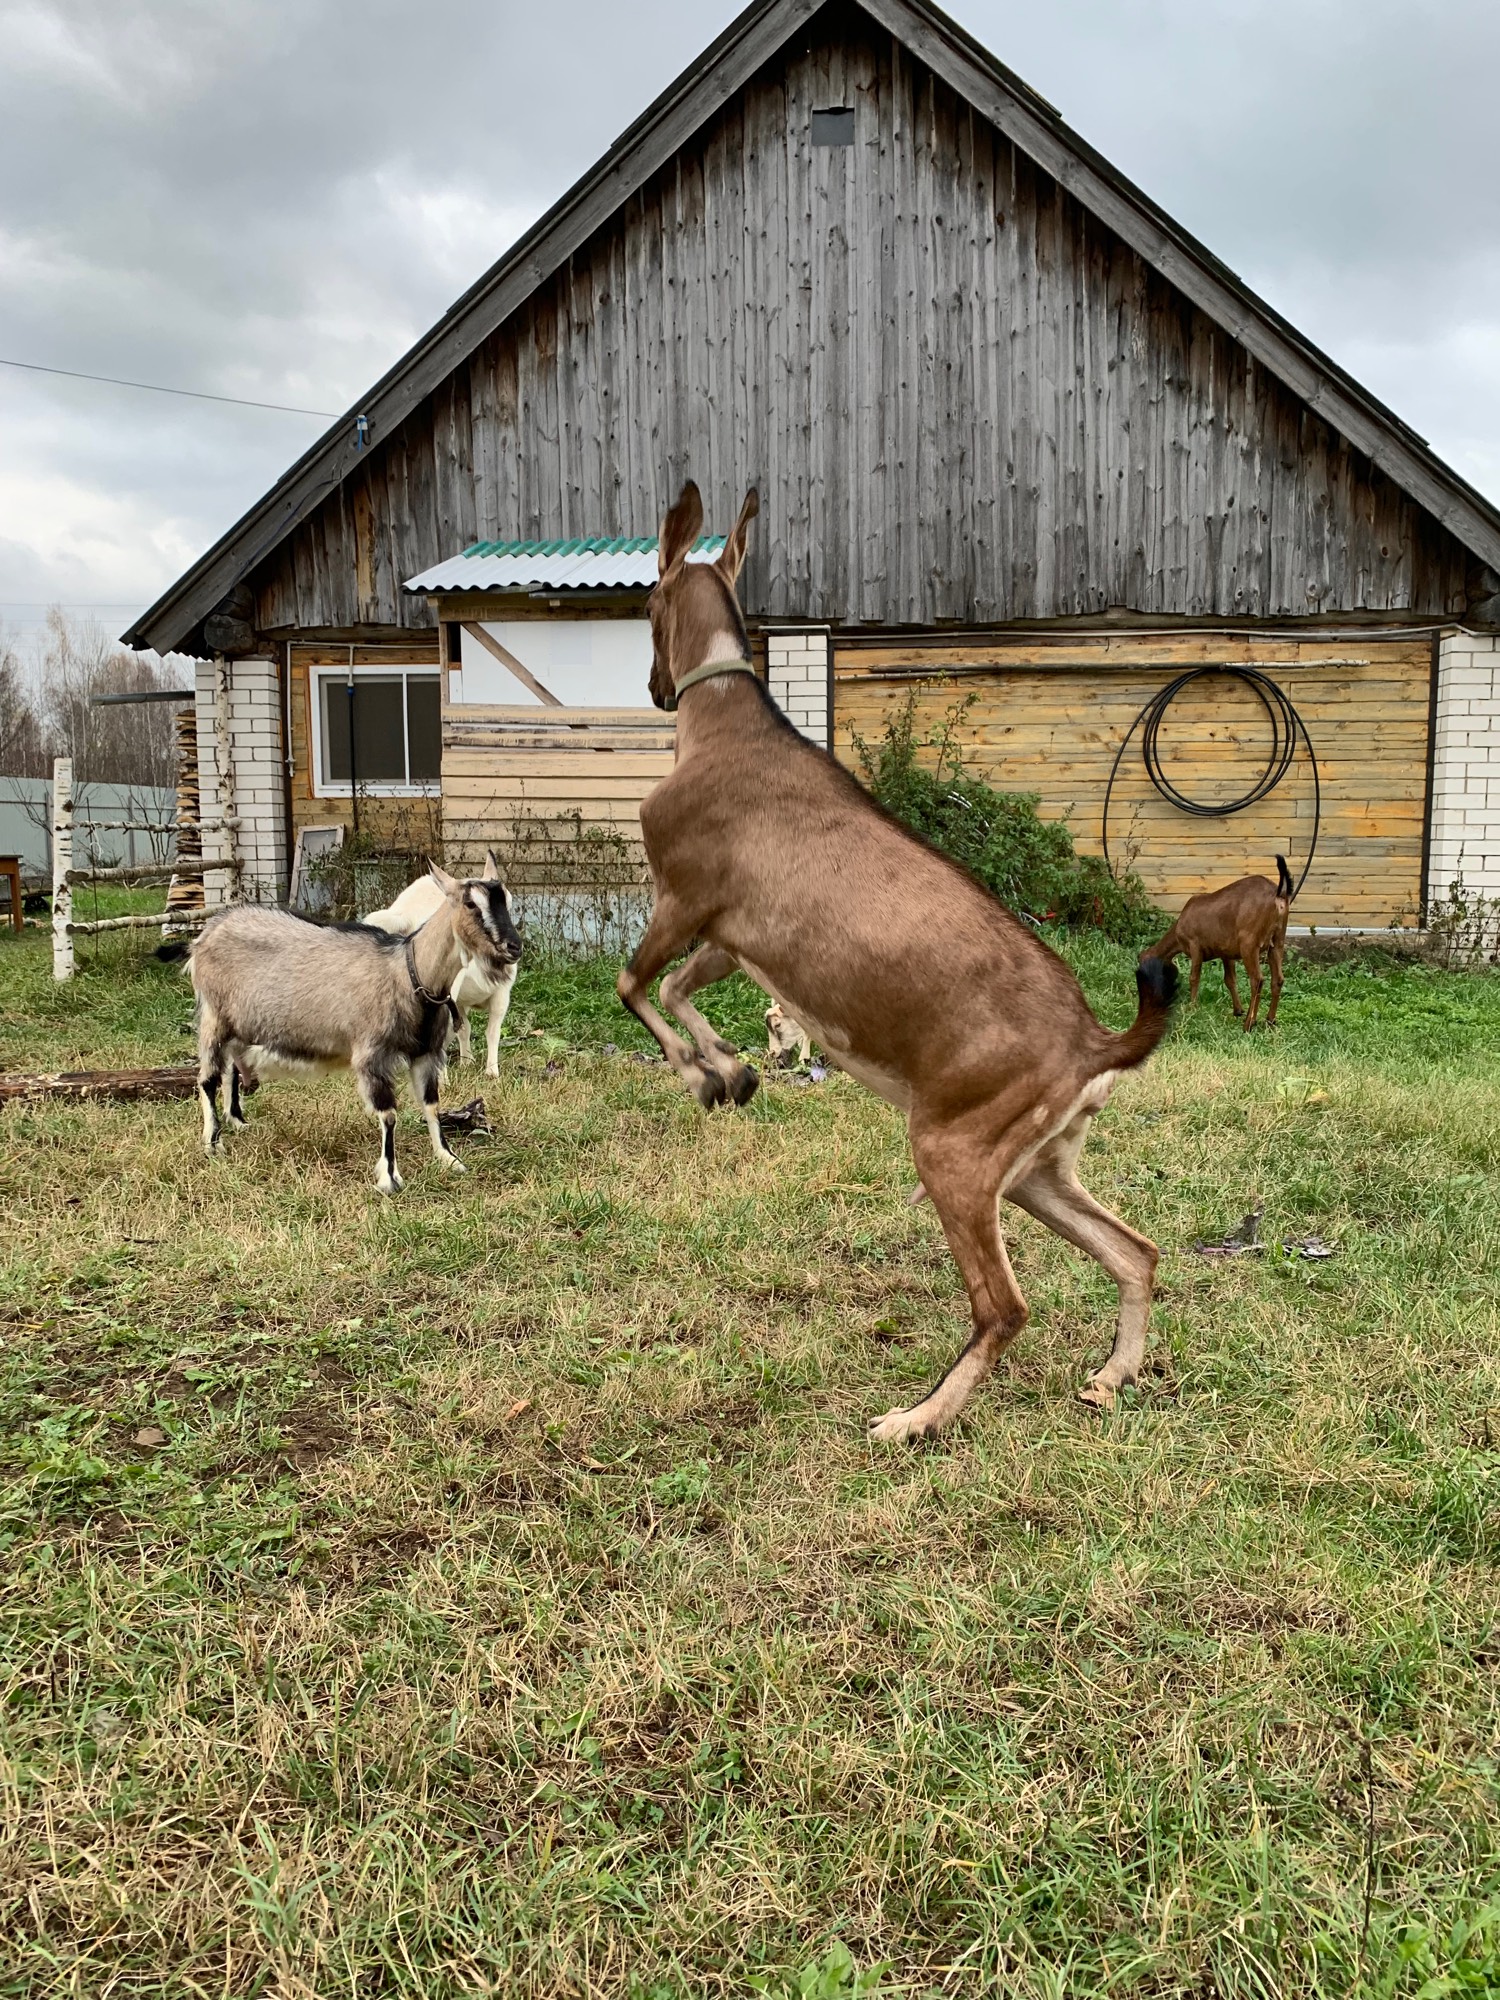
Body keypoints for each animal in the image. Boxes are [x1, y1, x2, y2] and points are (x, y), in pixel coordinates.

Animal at [362, 852, 520, 1088]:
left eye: (509, 902)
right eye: (471, 904)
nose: (514, 947)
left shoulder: (481, 997)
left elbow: (472, 1030)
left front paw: (473, 1065)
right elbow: (472, 1032)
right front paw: (481, 1073)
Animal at [616, 482, 1184, 1440]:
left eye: (645, 605)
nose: (655, 689)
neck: (729, 725)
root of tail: (1093, 1042)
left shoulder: (682, 899)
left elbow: (634, 985)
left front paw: (703, 1075)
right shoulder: (734, 940)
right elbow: (685, 991)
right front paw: (731, 1068)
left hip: (954, 1154)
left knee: (1005, 1308)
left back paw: (917, 1419)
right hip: (1036, 1171)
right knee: (1134, 1251)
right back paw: (1111, 1376)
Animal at [1144, 856, 1296, 1032]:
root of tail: (1278, 896)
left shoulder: (1194, 945)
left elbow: (1194, 977)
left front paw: (1192, 1007)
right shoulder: (1226, 953)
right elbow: (1230, 980)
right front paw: (1238, 1010)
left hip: (1249, 944)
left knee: (1257, 980)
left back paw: (1249, 1024)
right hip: (1278, 941)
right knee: (1278, 979)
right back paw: (1270, 1020)